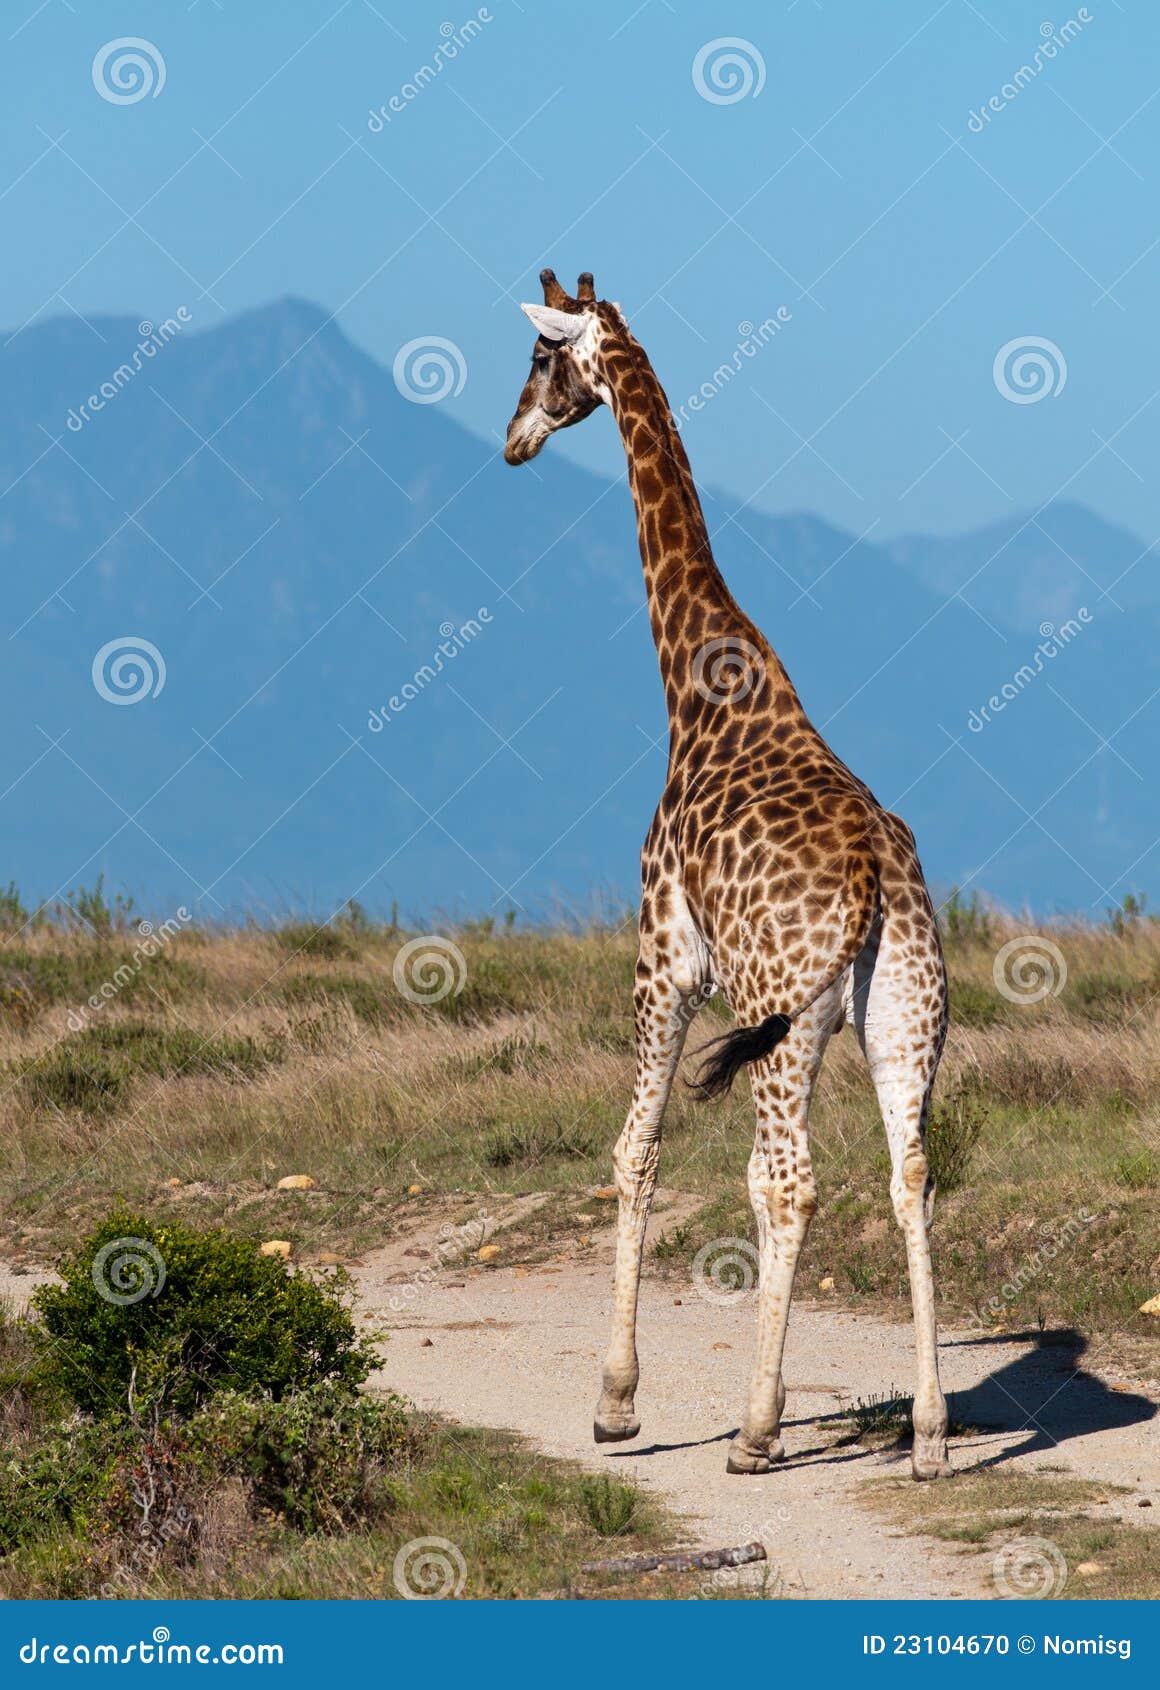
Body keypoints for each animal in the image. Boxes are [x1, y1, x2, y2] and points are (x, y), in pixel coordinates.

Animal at [504, 269, 951, 1481]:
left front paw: (616, 1403)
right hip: (905, 1020)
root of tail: (872, 881)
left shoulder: (666, 959)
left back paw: (754, 1433)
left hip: (783, 1026)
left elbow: (636, 1150)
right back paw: (931, 1434)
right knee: (908, 1178)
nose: (513, 440)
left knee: (786, 1182)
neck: (698, 684)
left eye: (538, 359)